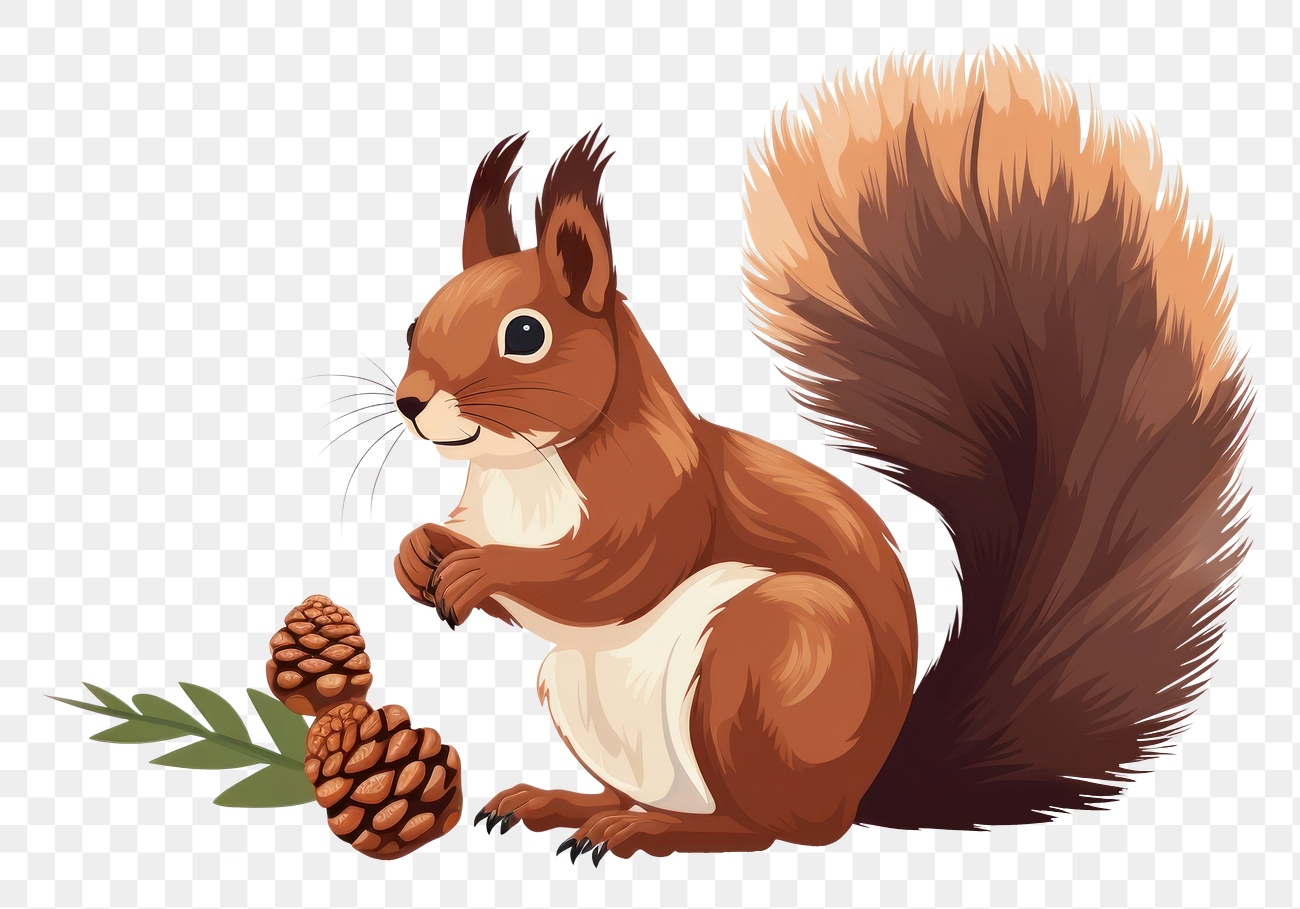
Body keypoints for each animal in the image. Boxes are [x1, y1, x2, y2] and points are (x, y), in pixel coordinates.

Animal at [388, 53, 1250, 862]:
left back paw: (650, 829)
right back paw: (563, 802)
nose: (410, 402)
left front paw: (480, 569)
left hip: (766, 655)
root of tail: (858, 790)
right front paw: (416, 551)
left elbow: (607, 573)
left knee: (761, 830)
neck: (524, 471)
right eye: (413, 323)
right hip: (582, 688)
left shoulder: (663, 490)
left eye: (525, 334)